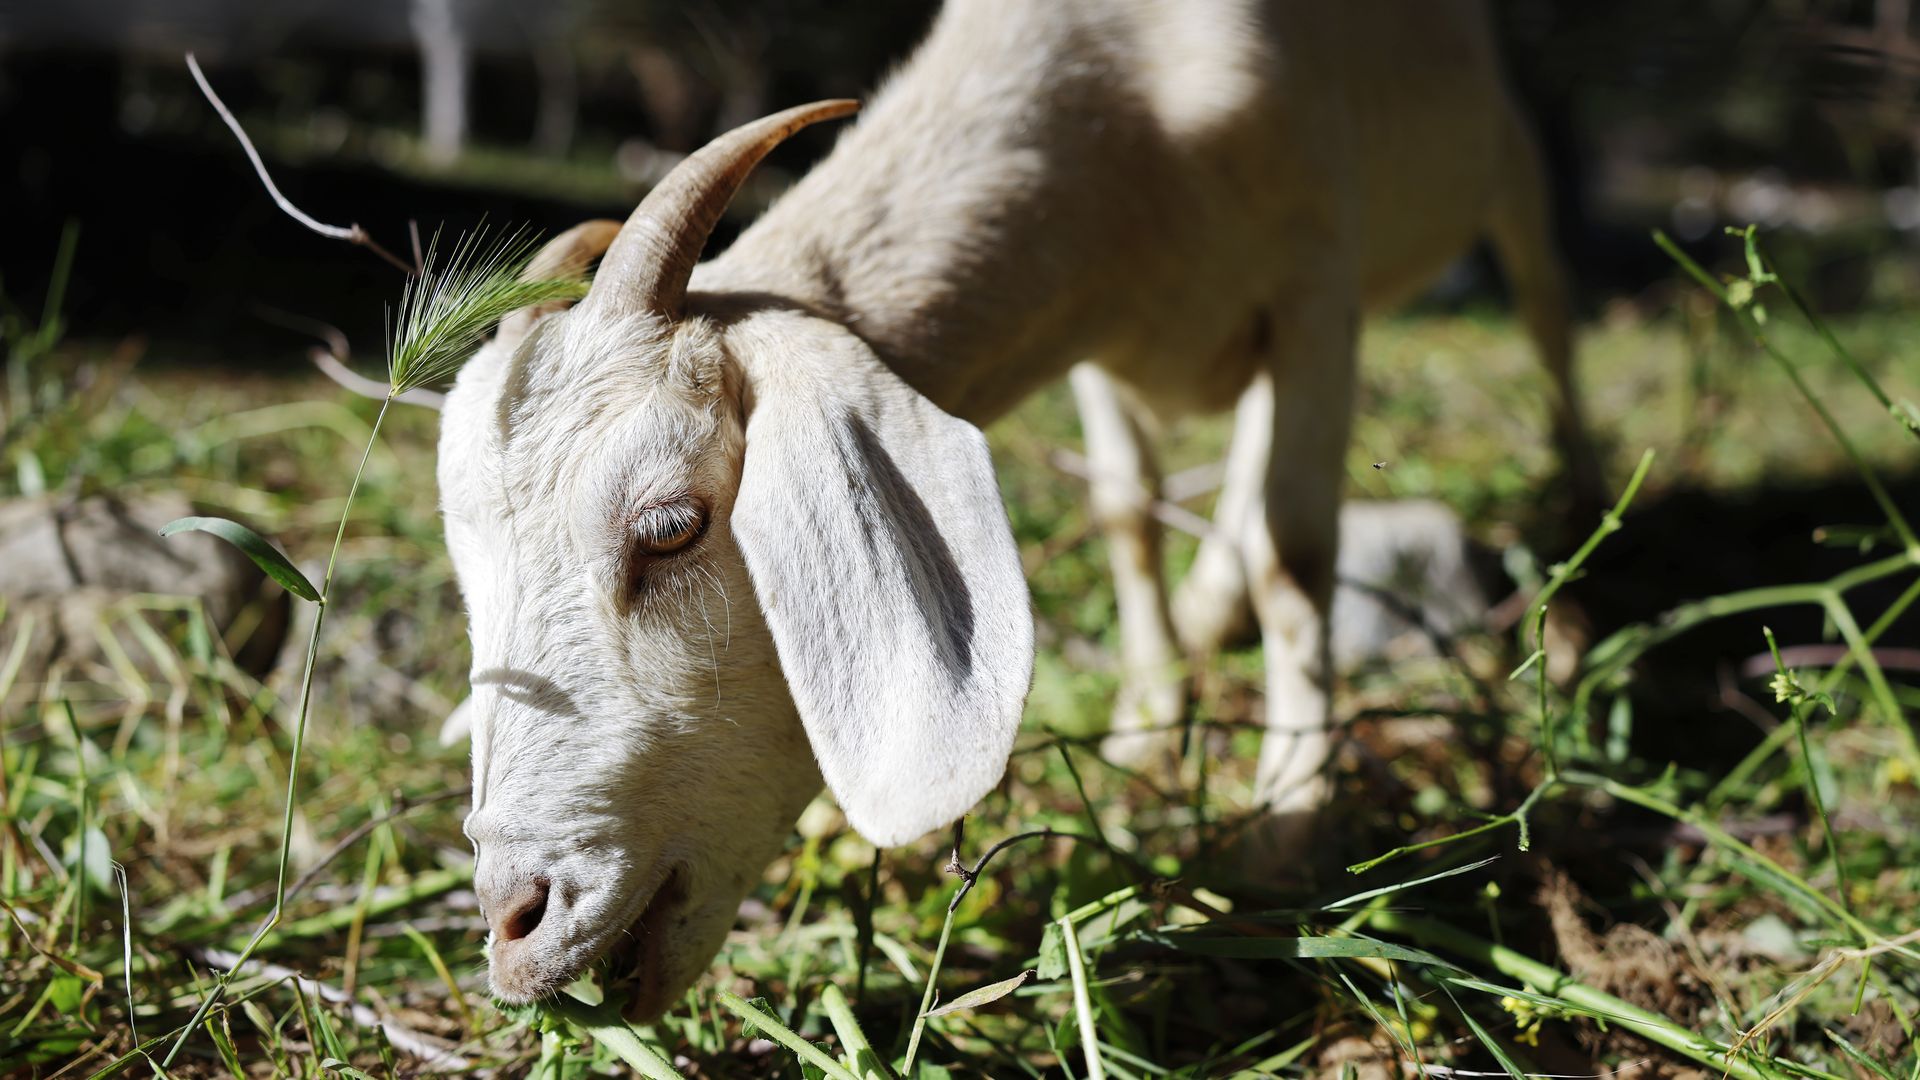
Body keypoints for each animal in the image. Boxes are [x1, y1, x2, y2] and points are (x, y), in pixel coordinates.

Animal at [435, 0, 1598, 1013]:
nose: (513, 922)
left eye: (671, 528)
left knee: (1547, 305)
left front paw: (1291, 814)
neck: (1129, 103)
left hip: (1499, 167)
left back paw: (1578, 500)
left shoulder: (1316, 286)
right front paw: (1148, 725)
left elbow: (1296, 551)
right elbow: (1129, 516)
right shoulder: (1097, 336)